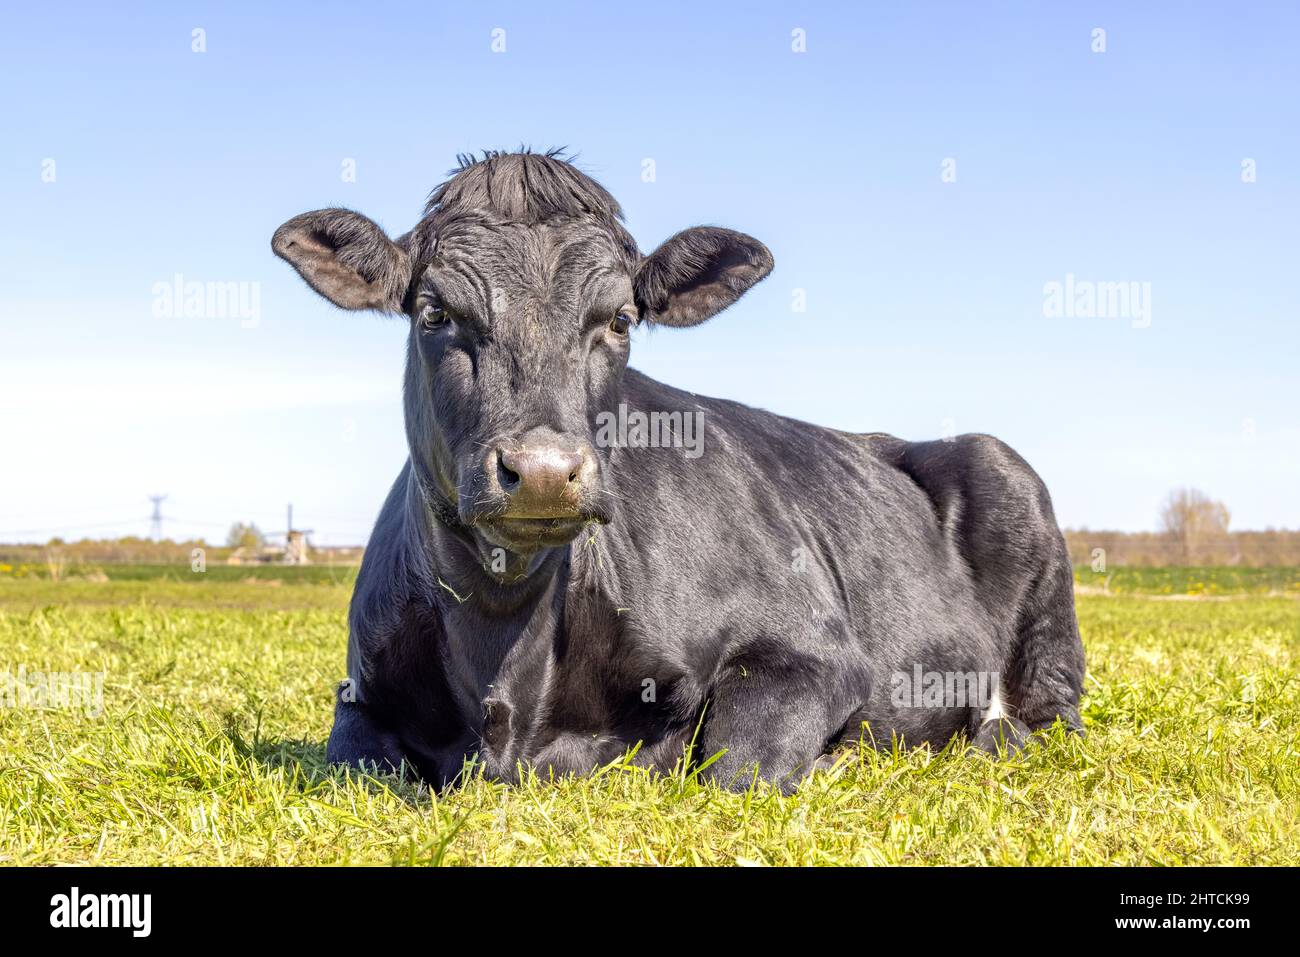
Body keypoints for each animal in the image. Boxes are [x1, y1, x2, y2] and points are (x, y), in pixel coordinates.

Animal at [272, 149, 1085, 793]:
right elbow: (353, 763)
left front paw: (835, 758)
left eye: (620, 320)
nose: (544, 471)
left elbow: (733, 764)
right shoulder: (359, 695)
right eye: (435, 313)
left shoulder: (817, 653)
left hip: (1015, 502)